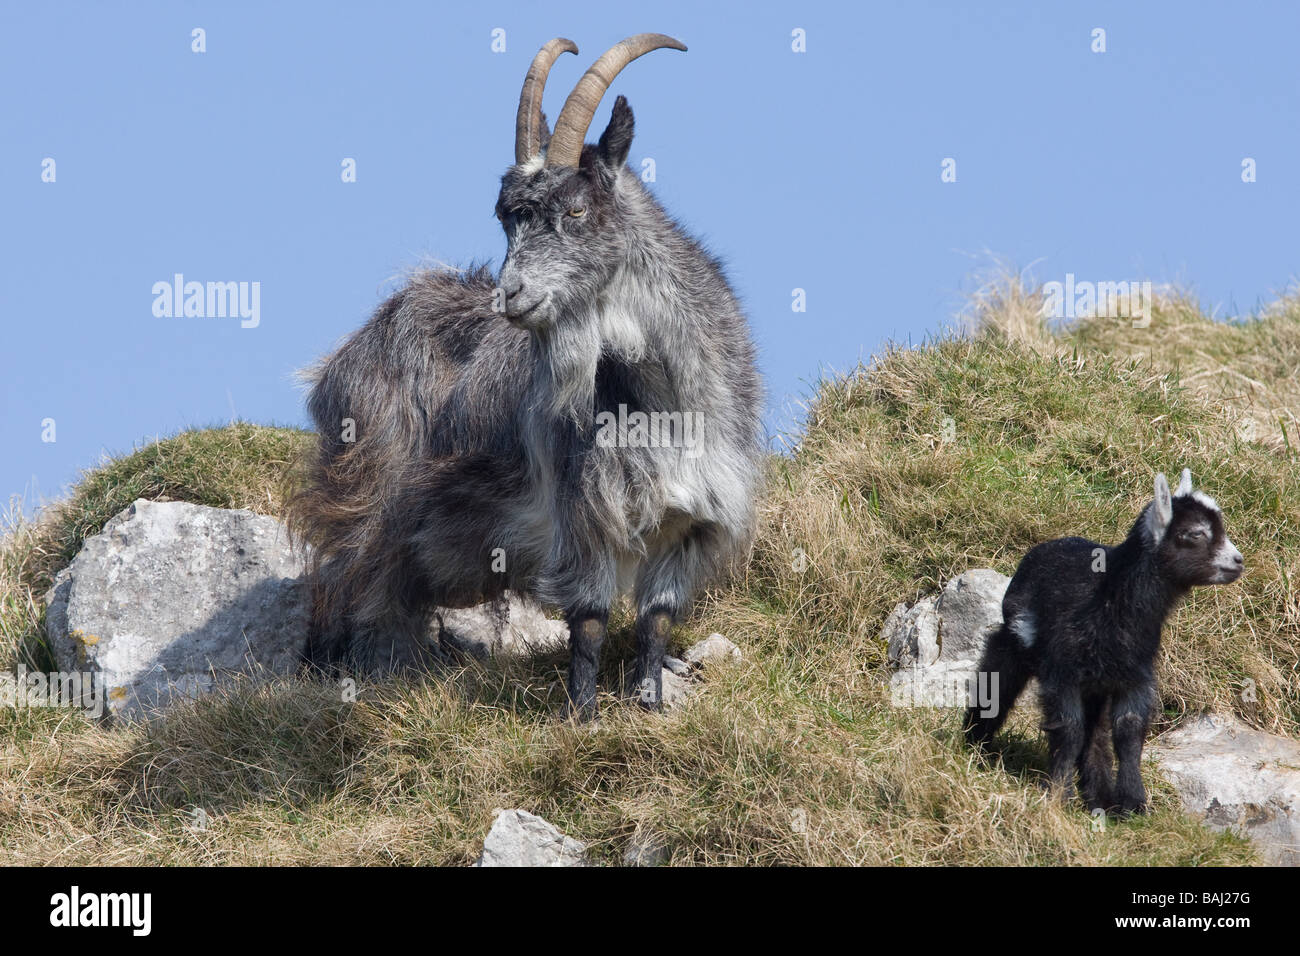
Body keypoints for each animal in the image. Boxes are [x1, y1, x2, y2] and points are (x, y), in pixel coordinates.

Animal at [291, 34, 765, 719]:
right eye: (506, 218)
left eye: (577, 208)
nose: (509, 295)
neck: (669, 404)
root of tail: (340, 360)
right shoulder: (585, 515)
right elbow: (589, 619)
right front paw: (583, 716)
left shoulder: (693, 522)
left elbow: (656, 619)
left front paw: (650, 704)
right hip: (370, 500)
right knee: (367, 594)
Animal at [963, 469, 1244, 814]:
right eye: (1195, 533)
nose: (1238, 561)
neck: (1110, 599)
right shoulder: (1063, 673)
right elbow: (1068, 729)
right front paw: (1058, 794)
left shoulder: (1134, 677)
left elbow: (1128, 731)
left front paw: (1133, 803)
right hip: (1015, 642)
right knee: (997, 686)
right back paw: (975, 744)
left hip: (1097, 685)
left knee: (1095, 731)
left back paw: (1099, 794)